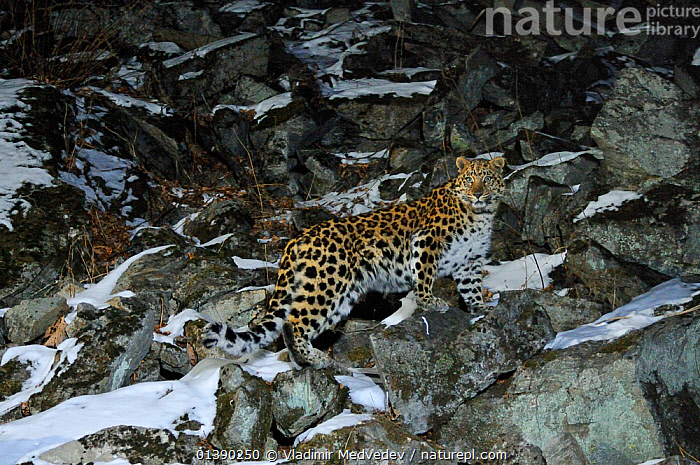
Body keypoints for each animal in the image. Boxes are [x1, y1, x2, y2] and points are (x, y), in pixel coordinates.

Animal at [202, 156, 506, 369]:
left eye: (487, 179)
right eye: (470, 179)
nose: (478, 193)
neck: (481, 215)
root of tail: (297, 240)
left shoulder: (470, 261)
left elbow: (471, 288)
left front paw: (480, 309)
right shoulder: (426, 240)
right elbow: (424, 275)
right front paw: (431, 302)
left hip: (339, 295)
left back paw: (310, 359)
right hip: (327, 285)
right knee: (293, 322)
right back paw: (312, 360)